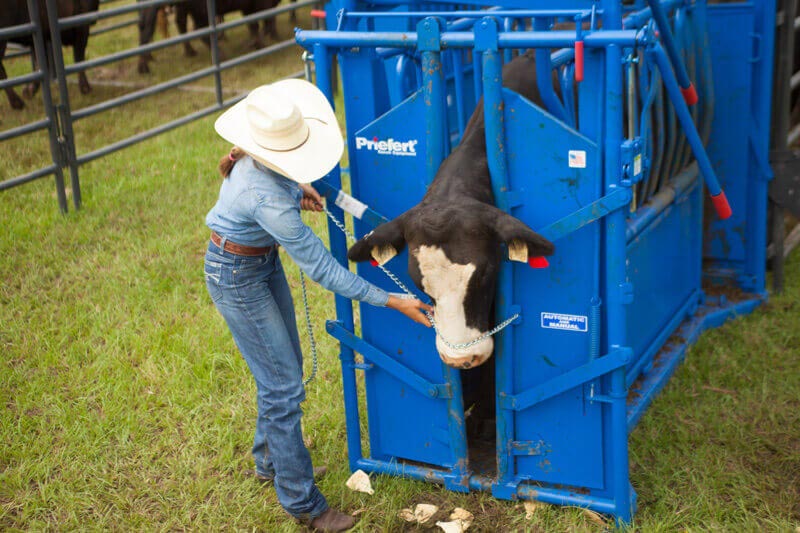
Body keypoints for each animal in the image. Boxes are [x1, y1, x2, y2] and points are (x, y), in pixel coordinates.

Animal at [137, 0, 293, 74]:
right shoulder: (262, 4)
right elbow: (267, 20)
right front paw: (265, 40)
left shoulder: (247, 7)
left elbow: (253, 25)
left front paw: (258, 43)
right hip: (200, 12)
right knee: (201, 31)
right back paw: (221, 55)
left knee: (148, 30)